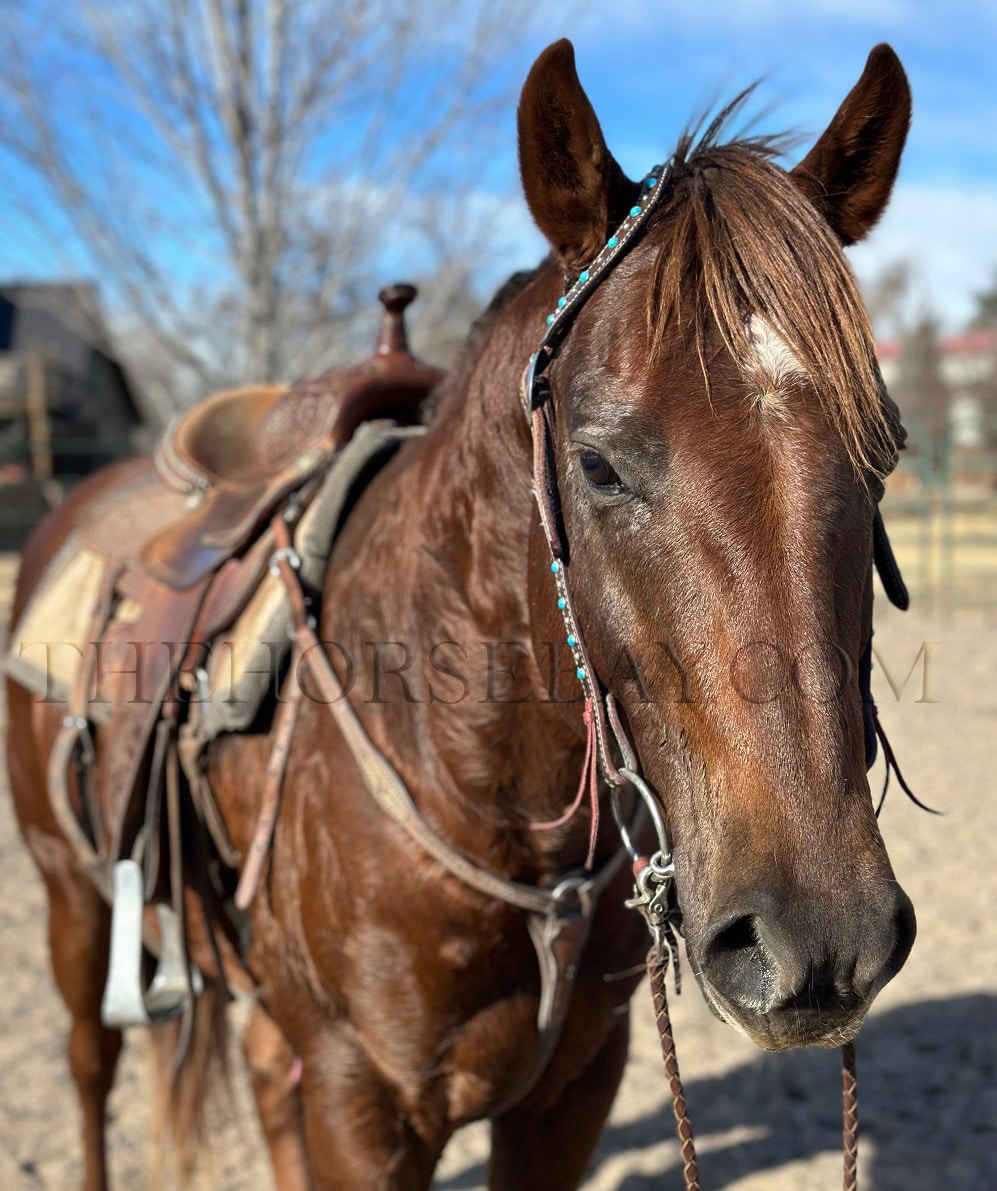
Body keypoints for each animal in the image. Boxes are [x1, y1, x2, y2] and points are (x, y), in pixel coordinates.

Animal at [5, 37, 917, 1190]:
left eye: (882, 452)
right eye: (596, 464)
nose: (822, 939)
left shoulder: (571, 1090)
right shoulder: (363, 1105)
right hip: (72, 898)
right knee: (90, 1064)